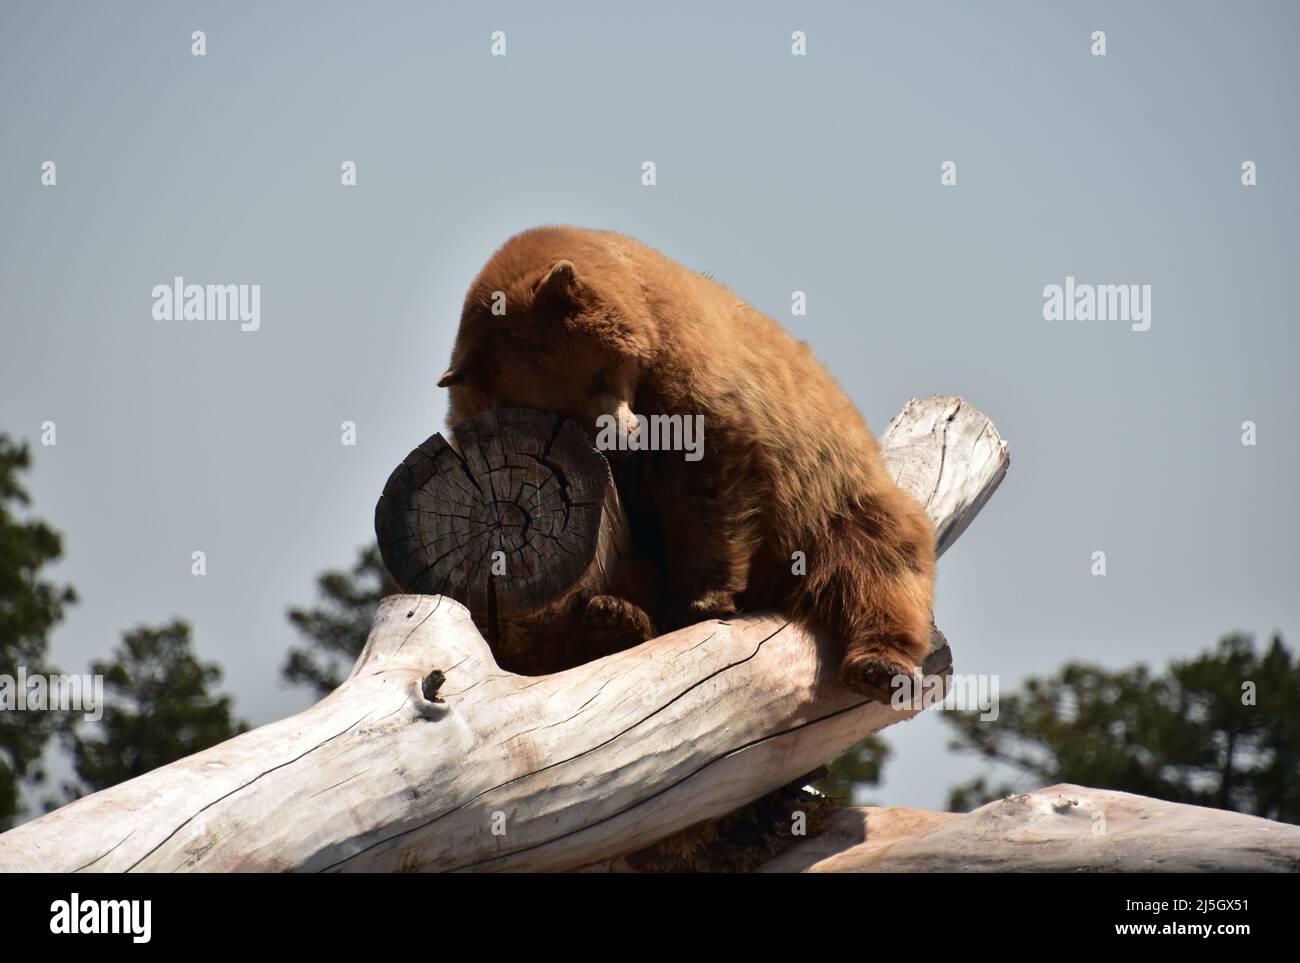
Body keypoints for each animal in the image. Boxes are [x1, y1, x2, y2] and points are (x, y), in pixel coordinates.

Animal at [438, 226, 936, 700]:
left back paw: (879, 665)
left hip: (827, 498)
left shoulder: (683, 362)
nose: (621, 438)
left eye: (598, 374)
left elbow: (707, 468)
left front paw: (704, 598)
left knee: (878, 561)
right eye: (559, 408)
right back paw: (614, 619)